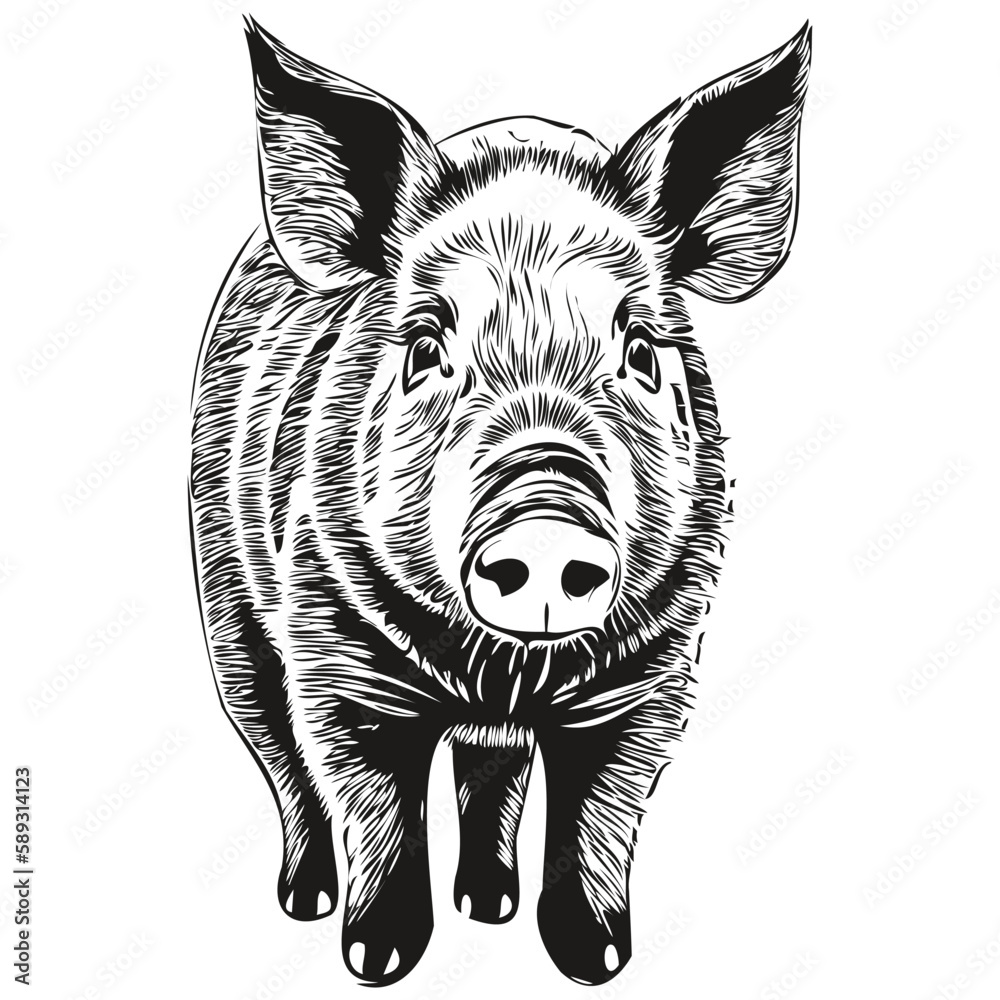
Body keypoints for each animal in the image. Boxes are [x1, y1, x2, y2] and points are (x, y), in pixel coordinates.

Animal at [190, 17, 810, 986]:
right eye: (424, 348)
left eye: (641, 350)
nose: (546, 518)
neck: (505, 673)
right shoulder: (333, 653)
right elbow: (372, 804)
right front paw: (375, 960)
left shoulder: (657, 675)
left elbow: (601, 816)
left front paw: (595, 962)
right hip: (226, 598)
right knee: (276, 751)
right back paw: (308, 899)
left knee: (494, 770)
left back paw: (490, 907)